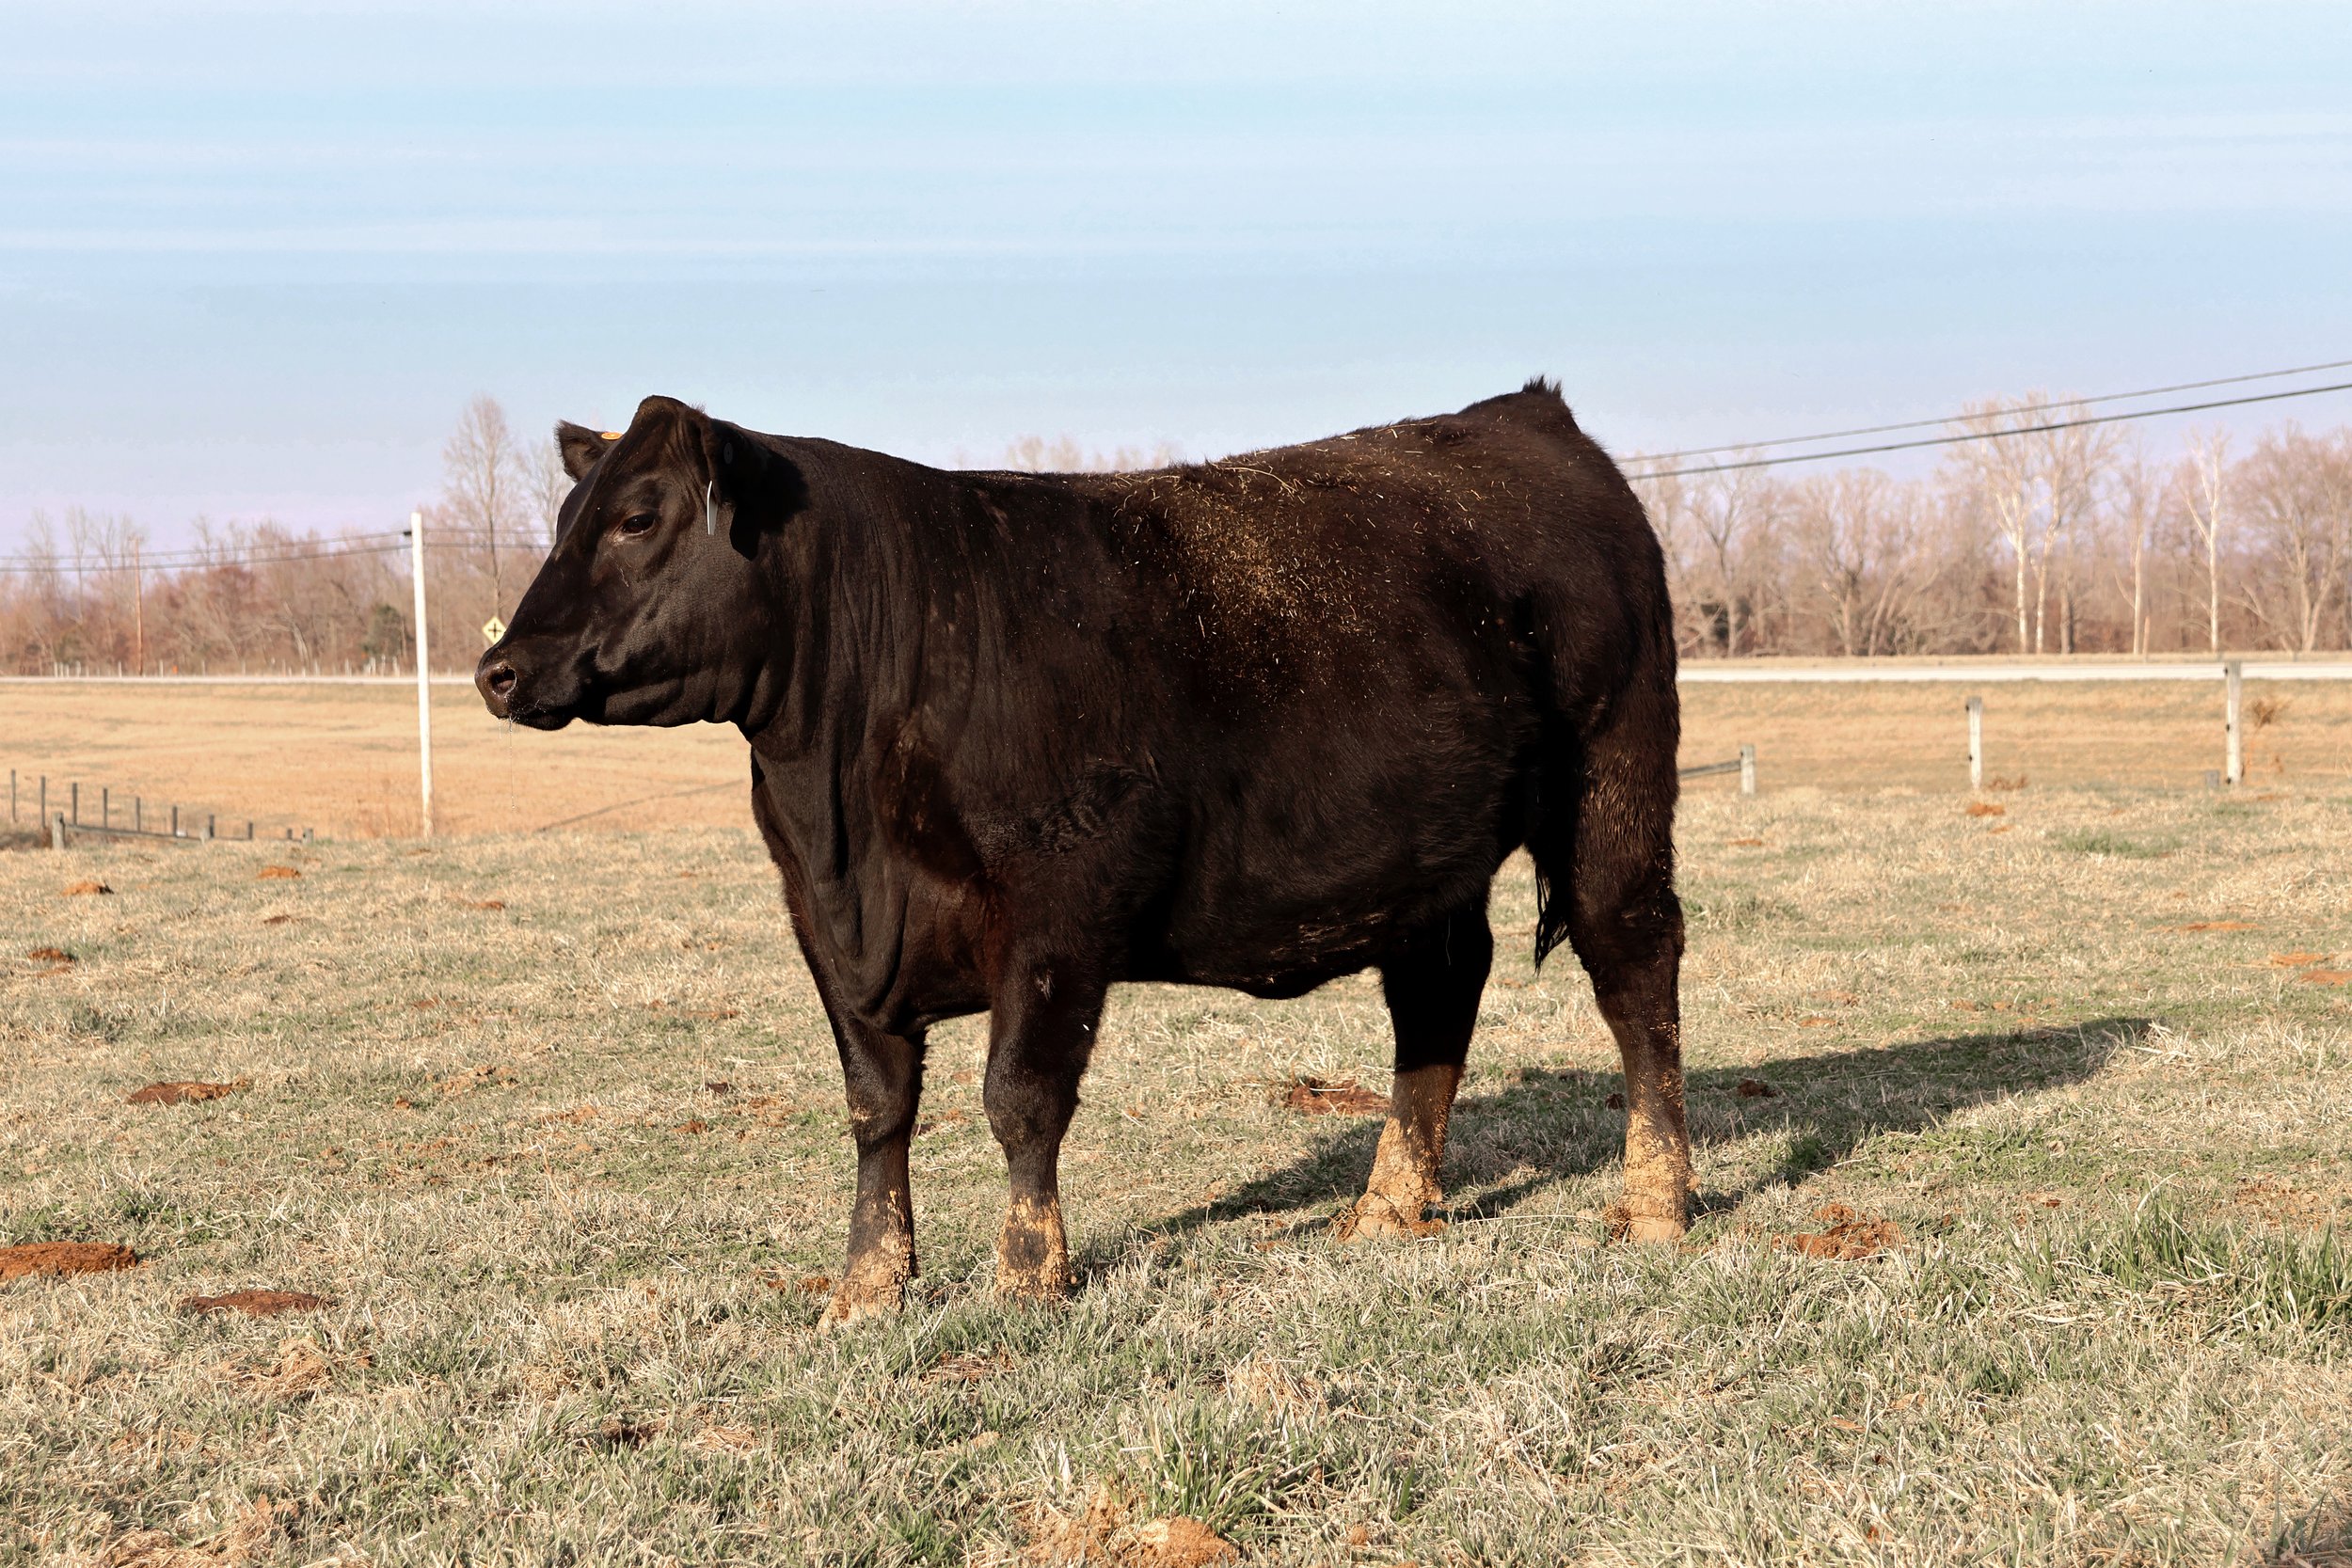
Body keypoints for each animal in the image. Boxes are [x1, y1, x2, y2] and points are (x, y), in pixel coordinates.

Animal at [477, 381, 1691, 1326]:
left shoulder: (1058, 905)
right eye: (567, 513)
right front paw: (866, 1286)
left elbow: (1019, 1093)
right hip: (1426, 852)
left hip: (1612, 784)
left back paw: (1657, 1201)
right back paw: (1387, 1207)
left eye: (639, 516)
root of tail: (1524, 414)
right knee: (1437, 994)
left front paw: (1028, 1274)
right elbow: (877, 1104)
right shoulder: (823, 922)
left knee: (1634, 967)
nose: (500, 669)